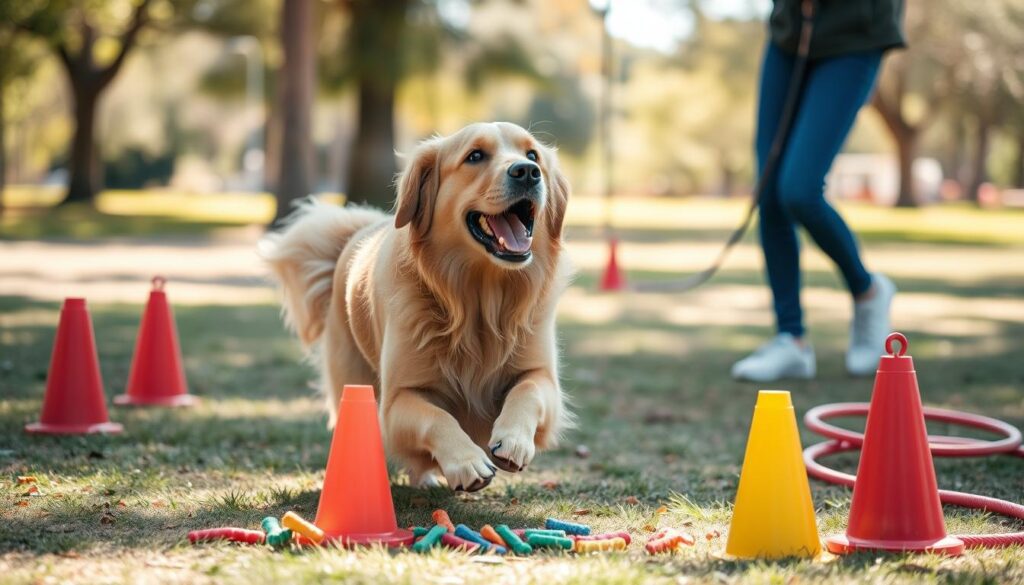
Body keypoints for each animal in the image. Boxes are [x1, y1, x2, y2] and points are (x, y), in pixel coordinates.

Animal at [262, 122, 577, 489]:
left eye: (533, 155)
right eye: (475, 156)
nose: (527, 172)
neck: (477, 300)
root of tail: (357, 231)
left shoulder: (542, 375)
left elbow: (528, 390)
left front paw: (513, 439)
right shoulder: (396, 401)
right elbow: (436, 417)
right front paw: (466, 461)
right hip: (351, 380)